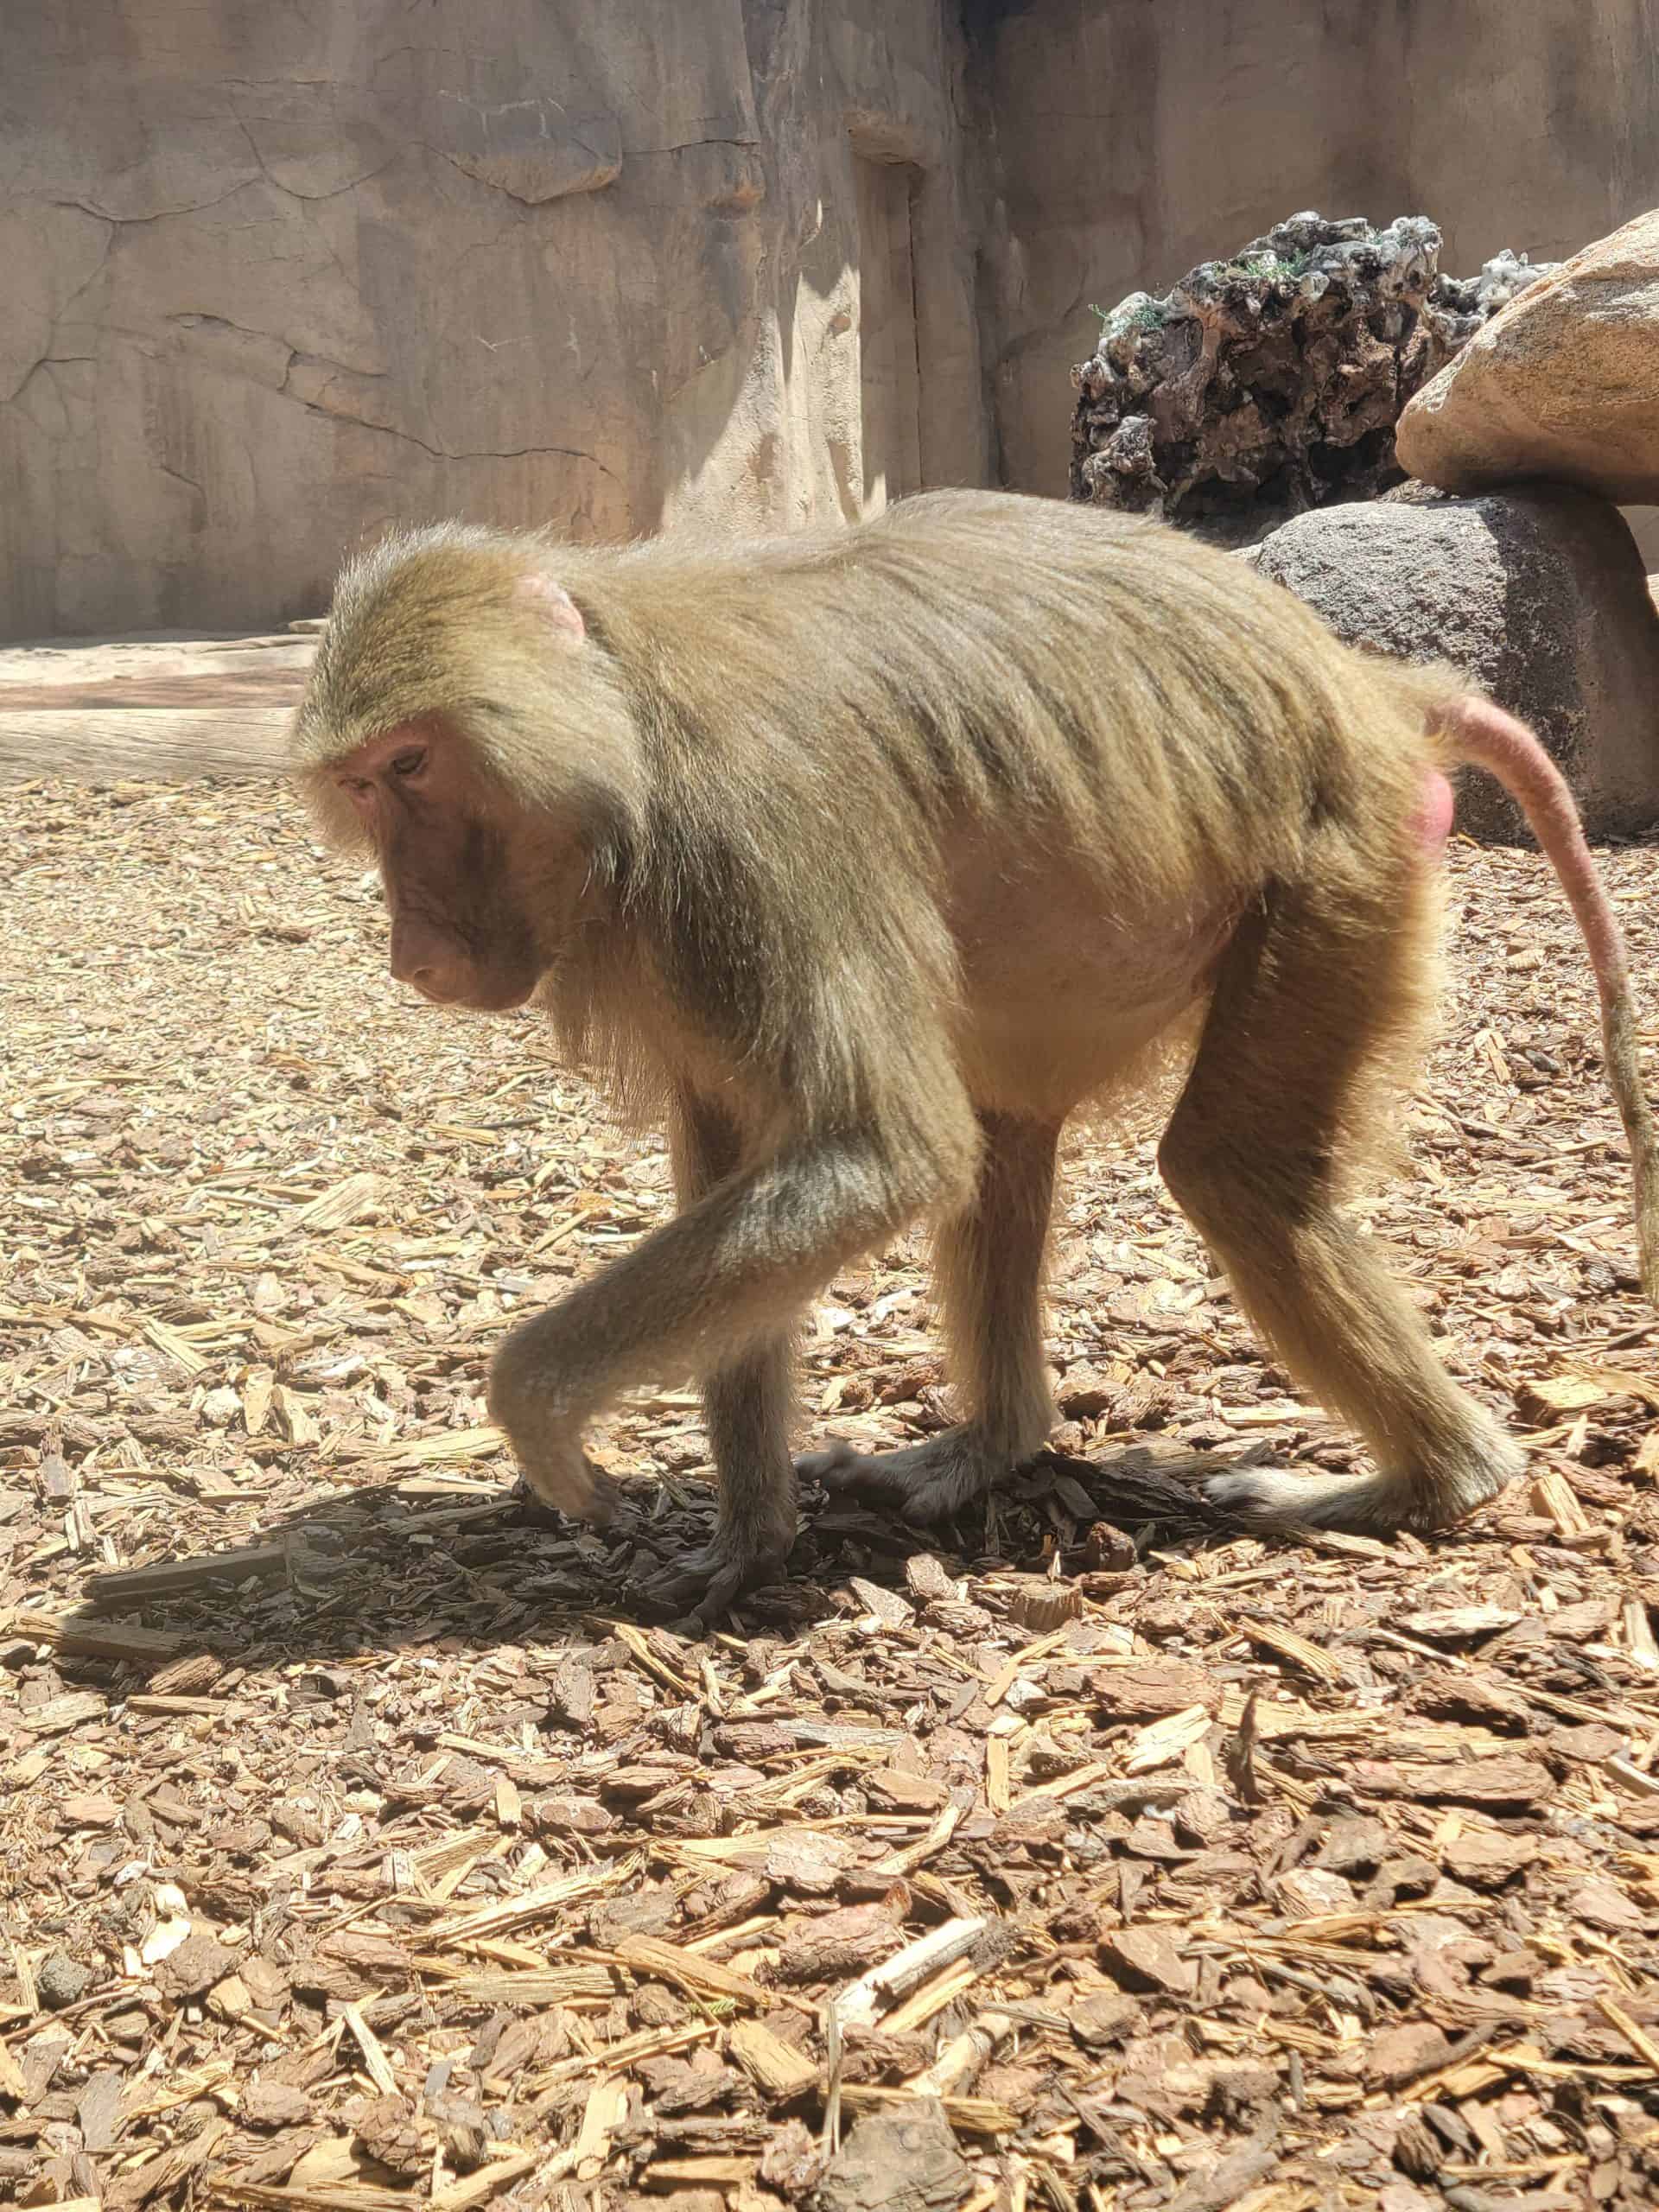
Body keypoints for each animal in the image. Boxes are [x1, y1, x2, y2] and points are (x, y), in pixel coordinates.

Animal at [289, 490, 1659, 1622]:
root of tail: (1365, 685)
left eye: (413, 763)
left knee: (1227, 1175)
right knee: (1008, 1138)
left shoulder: (757, 832)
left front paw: (538, 1409)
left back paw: (1432, 1483)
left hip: (1345, 857)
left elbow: (878, 1154)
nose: (413, 949)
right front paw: (750, 1536)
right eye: (362, 786)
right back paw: (993, 1444)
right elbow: (755, 1166)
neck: (626, 705)